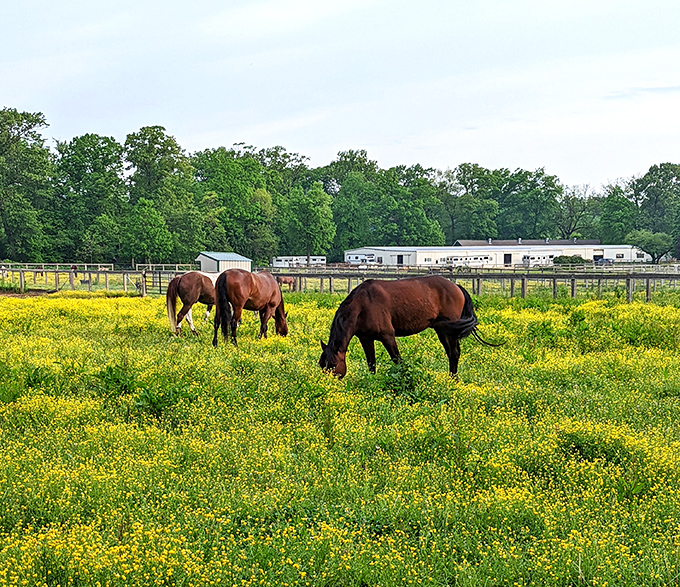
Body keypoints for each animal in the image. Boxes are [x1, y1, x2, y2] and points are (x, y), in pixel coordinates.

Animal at [319, 276, 498, 378]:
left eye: (333, 365)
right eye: (322, 365)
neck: (362, 304)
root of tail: (456, 287)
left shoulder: (388, 336)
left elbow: (397, 361)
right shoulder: (366, 339)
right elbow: (371, 364)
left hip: (451, 331)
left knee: (454, 354)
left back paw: (453, 381)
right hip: (442, 330)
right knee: (451, 354)